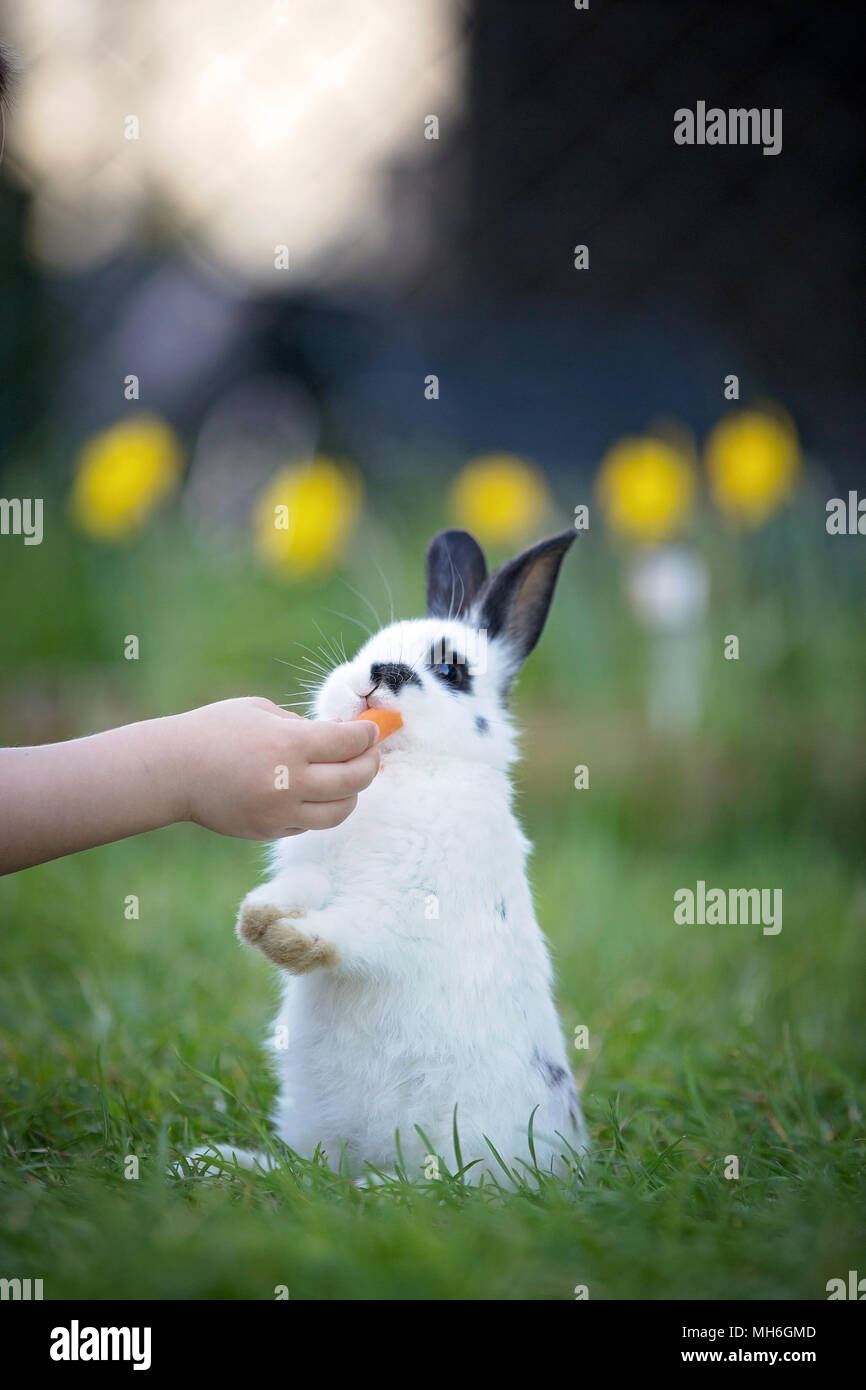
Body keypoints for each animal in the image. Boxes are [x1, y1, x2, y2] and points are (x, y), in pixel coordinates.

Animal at [197, 527, 588, 1184]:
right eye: (371, 645)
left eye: (450, 668)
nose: (379, 673)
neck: (402, 768)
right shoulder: (314, 870)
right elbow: (294, 894)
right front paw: (258, 923)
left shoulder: (406, 904)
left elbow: (356, 930)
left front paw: (295, 945)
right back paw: (216, 1163)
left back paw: (377, 1187)